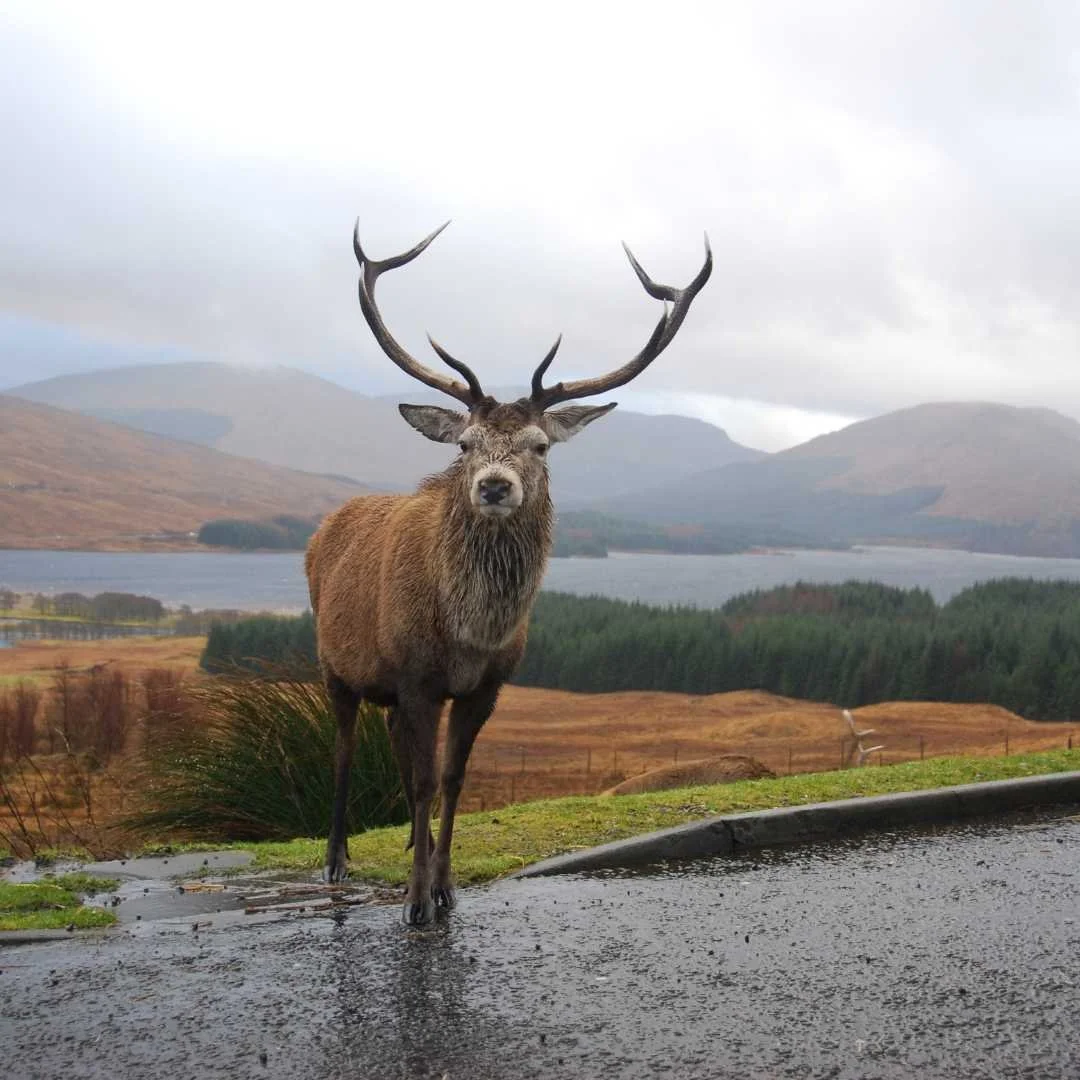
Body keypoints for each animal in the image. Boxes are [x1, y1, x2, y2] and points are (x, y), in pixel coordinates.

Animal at [305, 220, 711, 924]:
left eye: (540, 445)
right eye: (466, 444)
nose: (494, 485)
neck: (469, 633)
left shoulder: (487, 685)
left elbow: (451, 779)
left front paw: (444, 885)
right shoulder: (414, 675)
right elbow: (421, 780)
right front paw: (415, 901)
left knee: (394, 746)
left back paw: (412, 843)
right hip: (335, 664)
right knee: (344, 748)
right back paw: (336, 859)